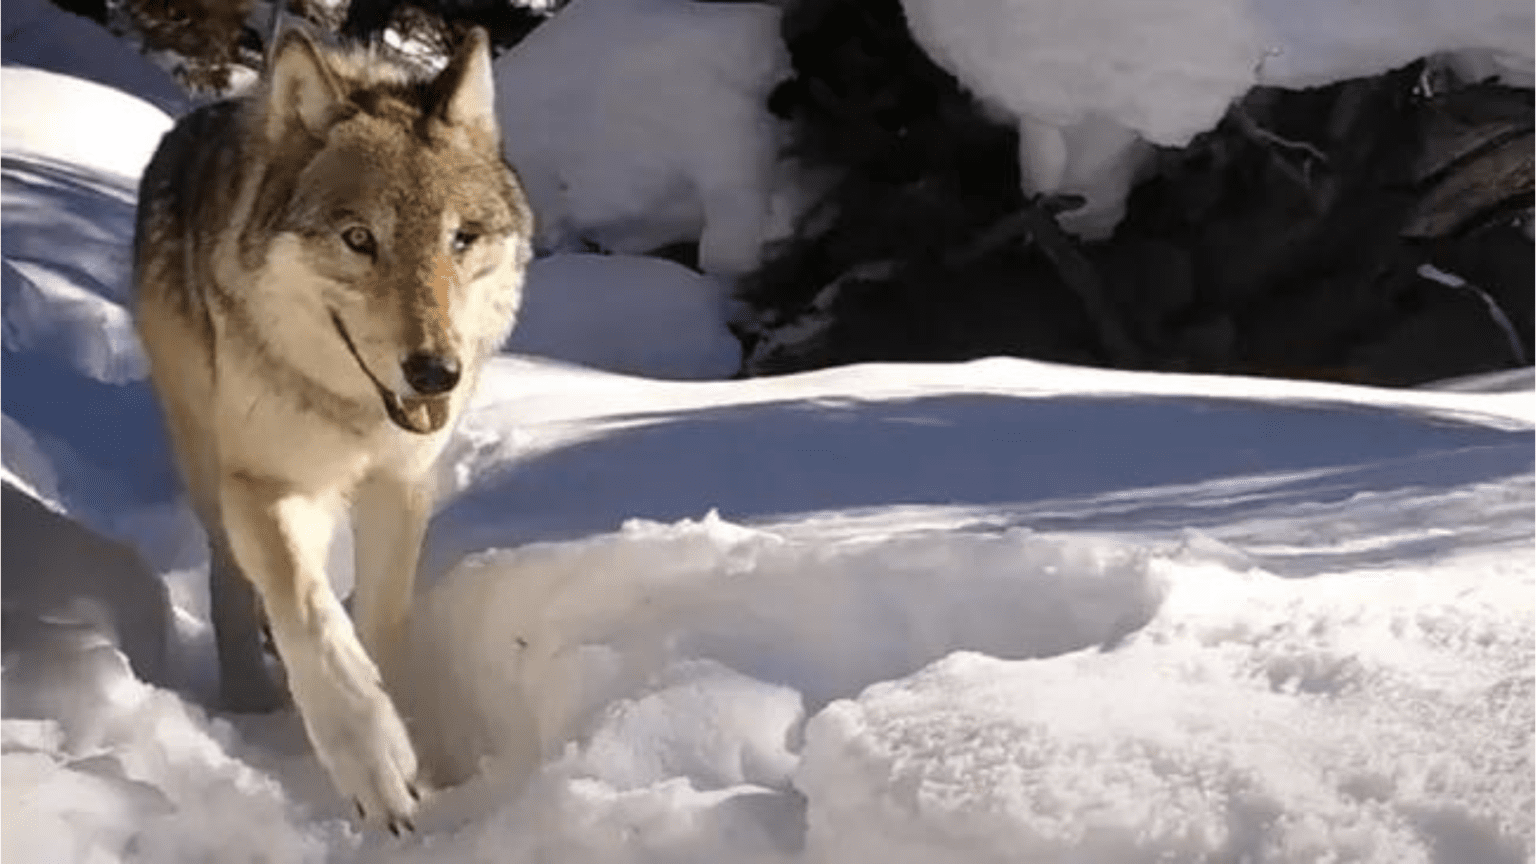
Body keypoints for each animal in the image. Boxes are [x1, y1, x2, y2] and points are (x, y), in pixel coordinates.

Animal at [132, 25, 532, 832]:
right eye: (358, 238)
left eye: (462, 238)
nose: (436, 373)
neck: (355, 414)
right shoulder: (264, 481)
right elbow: (312, 617)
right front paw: (375, 764)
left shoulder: (400, 485)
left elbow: (380, 621)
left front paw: (418, 754)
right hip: (207, 456)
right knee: (233, 574)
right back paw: (249, 692)